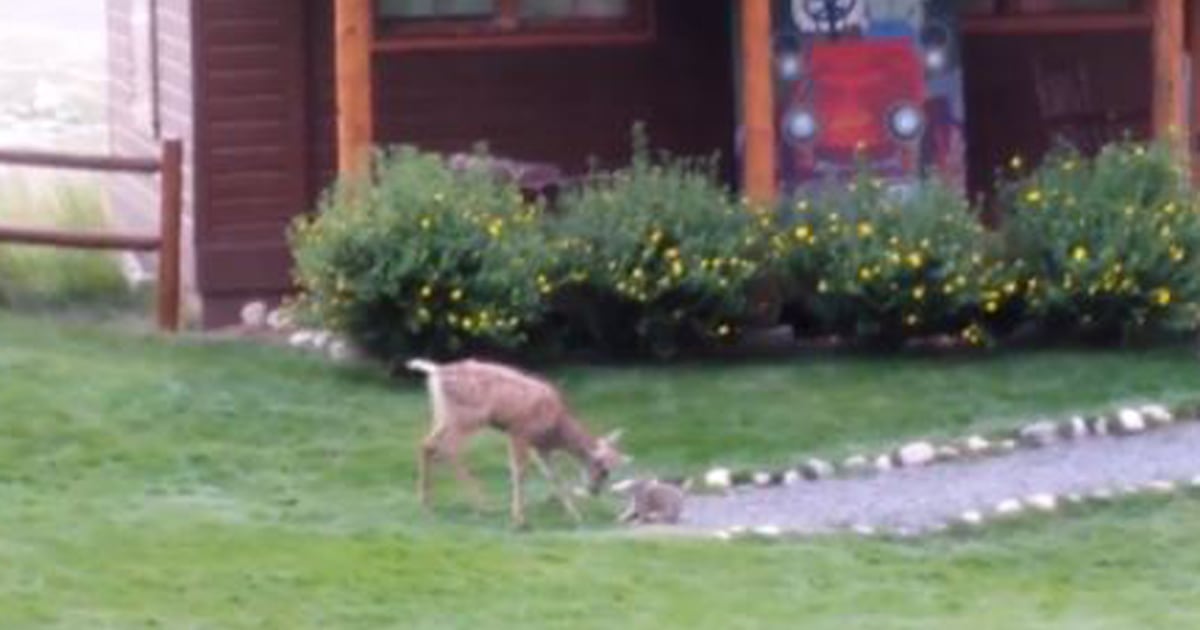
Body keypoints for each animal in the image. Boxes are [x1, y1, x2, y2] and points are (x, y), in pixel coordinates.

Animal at [407, 358, 629, 527]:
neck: (556, 429)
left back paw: (426, 503)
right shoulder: (519, 432)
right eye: (604, 470)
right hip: (467, 417)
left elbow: (554, 477)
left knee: (426, 444)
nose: (594, 491)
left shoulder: (540, 447)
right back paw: (482, 505)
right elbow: (519, 472)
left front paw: (576, 516)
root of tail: (436, 371)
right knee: (449, 449)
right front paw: (519, 520)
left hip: (442, 415)